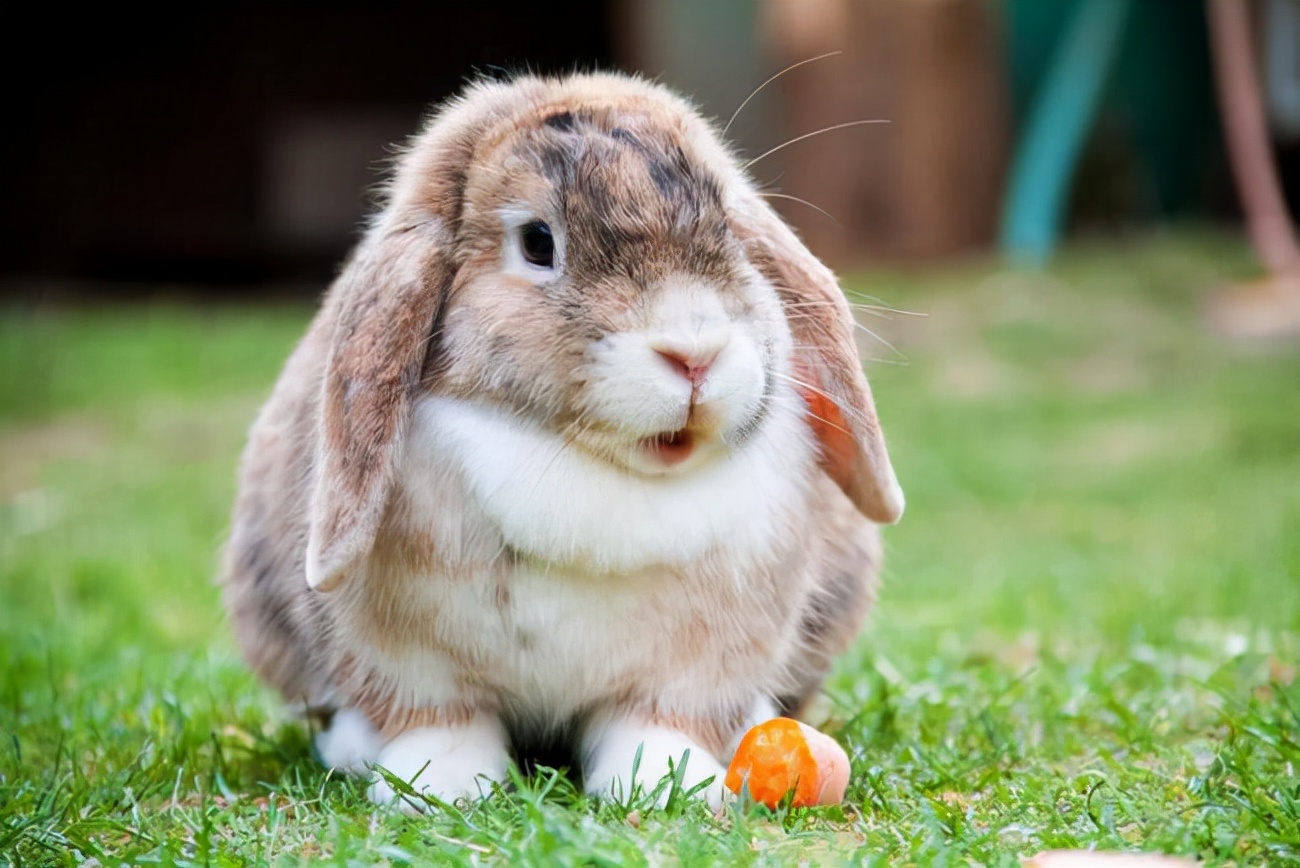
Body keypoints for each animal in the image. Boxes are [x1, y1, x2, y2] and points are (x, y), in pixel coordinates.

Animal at [220, 71, 904, 811]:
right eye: (538, 242)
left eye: (727, 227)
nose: (695, 354)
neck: (588, 465)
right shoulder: (409, 661)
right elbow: (440, 721)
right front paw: (439, 788)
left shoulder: (695, 666)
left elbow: (657, 723)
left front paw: (666, 786)